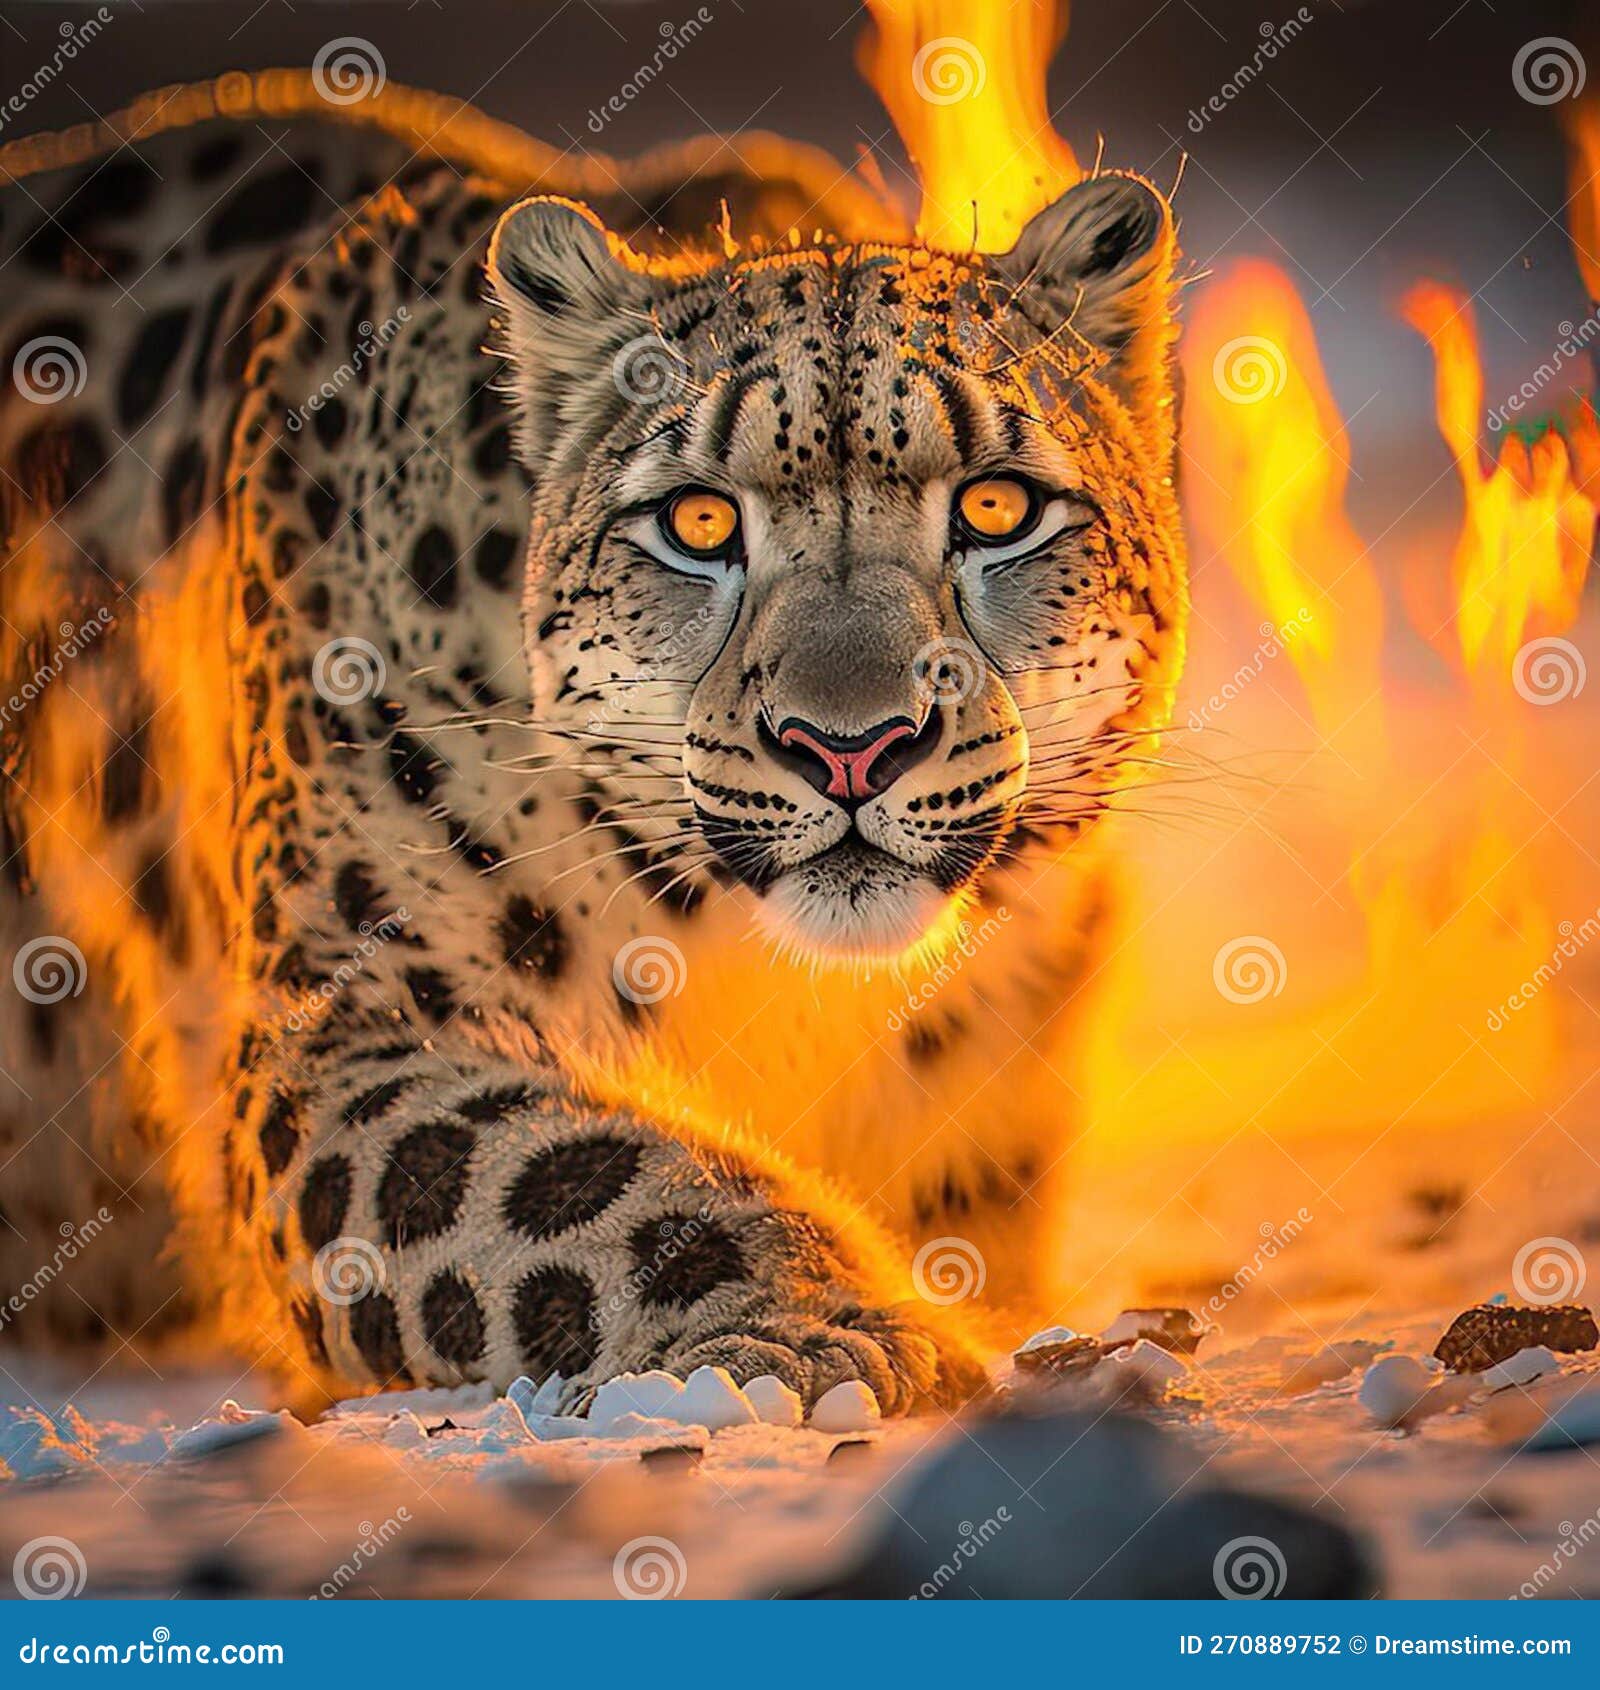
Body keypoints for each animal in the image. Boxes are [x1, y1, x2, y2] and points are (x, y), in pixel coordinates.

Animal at [0, 74, 1185, 1418]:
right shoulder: (343, 1025)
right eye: (699, 522)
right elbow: (592, 1179)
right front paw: (830, 1336)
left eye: (995, 507)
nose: (850, 746)